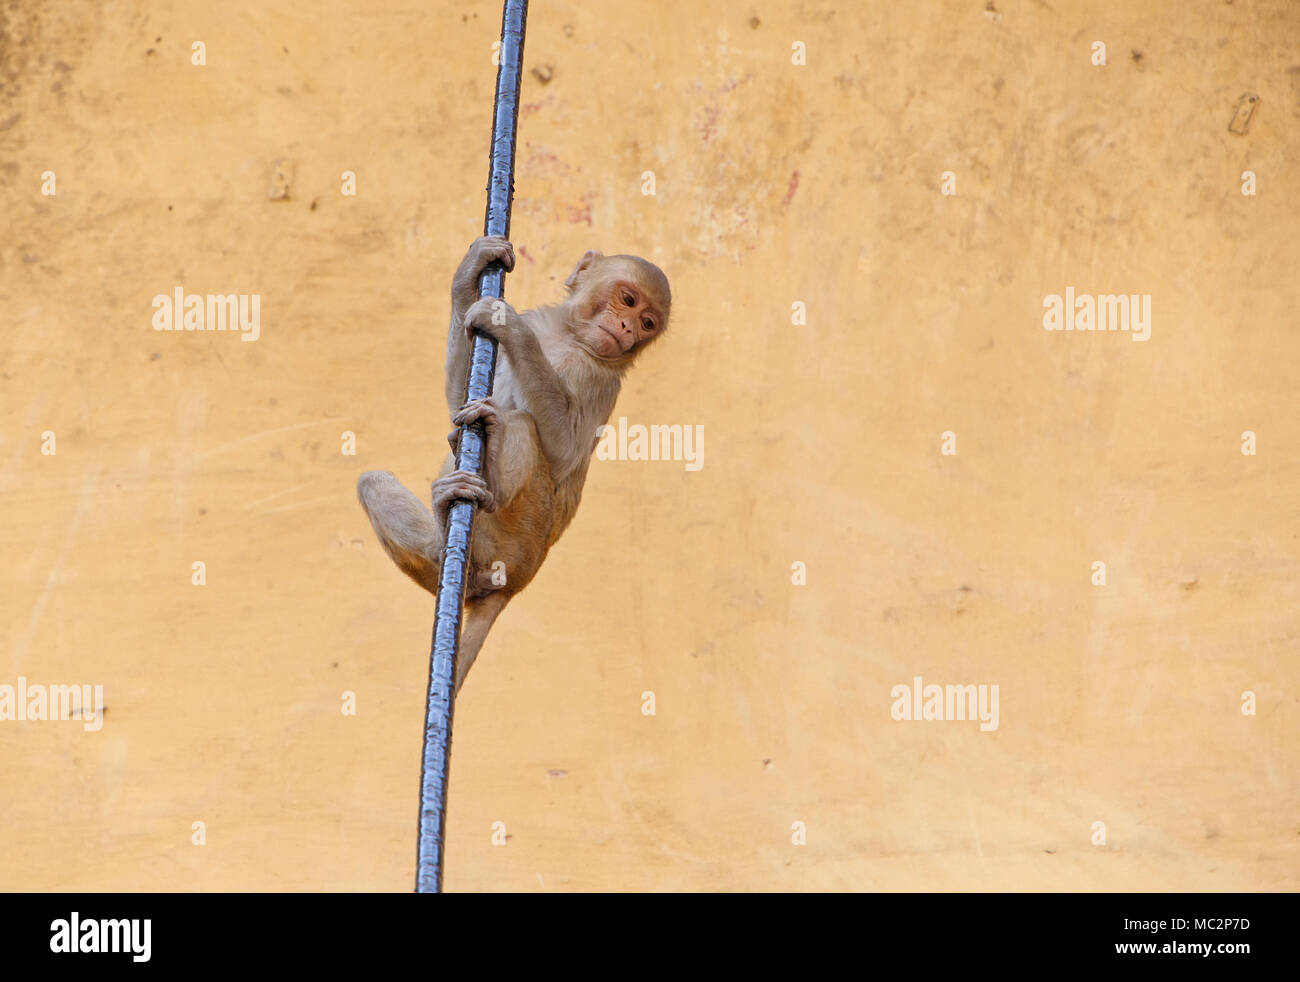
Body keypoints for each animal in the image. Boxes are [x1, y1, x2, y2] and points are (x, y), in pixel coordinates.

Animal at [357, 236, 671, 691]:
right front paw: (468, 275)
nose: (629, 329)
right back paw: (445, 539)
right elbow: (456, 403)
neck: (568, 338)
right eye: (628, 301)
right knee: (372, 481)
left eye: (647, 322)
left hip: (522, 540)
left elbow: (564, 450)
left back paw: (492, 473)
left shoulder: (597, 379)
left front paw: (511, 327)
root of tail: (521, 580)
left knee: (520, 423)